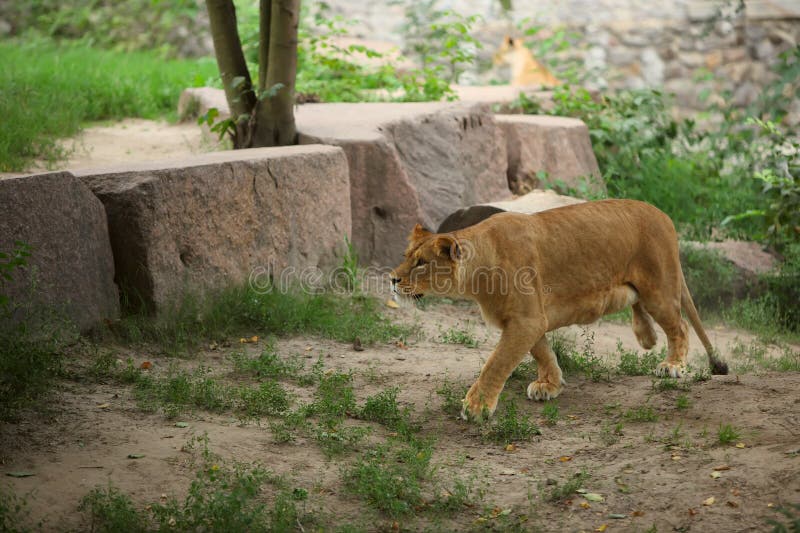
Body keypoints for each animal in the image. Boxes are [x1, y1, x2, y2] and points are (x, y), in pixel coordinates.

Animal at [390, 199, 728, 421]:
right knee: (638, 304)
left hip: (659, 288)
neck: (479, 270)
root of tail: (663, 214)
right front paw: (549, 385)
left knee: (679, 325)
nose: (392, 279)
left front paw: (477, 406)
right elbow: (541, 352)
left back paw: (672, 364)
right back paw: (646, 336)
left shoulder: (526, 320)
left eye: (421, 263)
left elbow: (497, 363)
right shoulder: (528, 321)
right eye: (406, 256)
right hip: (633, 286)